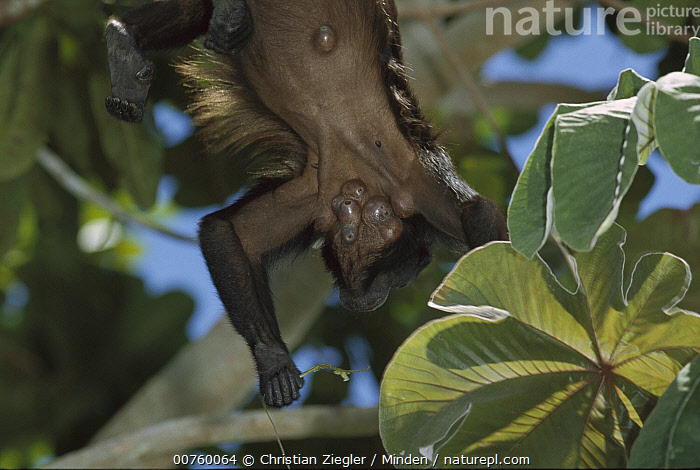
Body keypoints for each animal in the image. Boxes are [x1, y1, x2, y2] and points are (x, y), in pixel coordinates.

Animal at [105, 0, 509, 407]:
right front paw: (274, 361)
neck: (360, 178)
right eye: (401, 281)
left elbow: (228, 233)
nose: (374, 301)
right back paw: (163, 33)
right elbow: (481, 217)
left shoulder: (312, 199)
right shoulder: (418, 184)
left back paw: (127, 41)